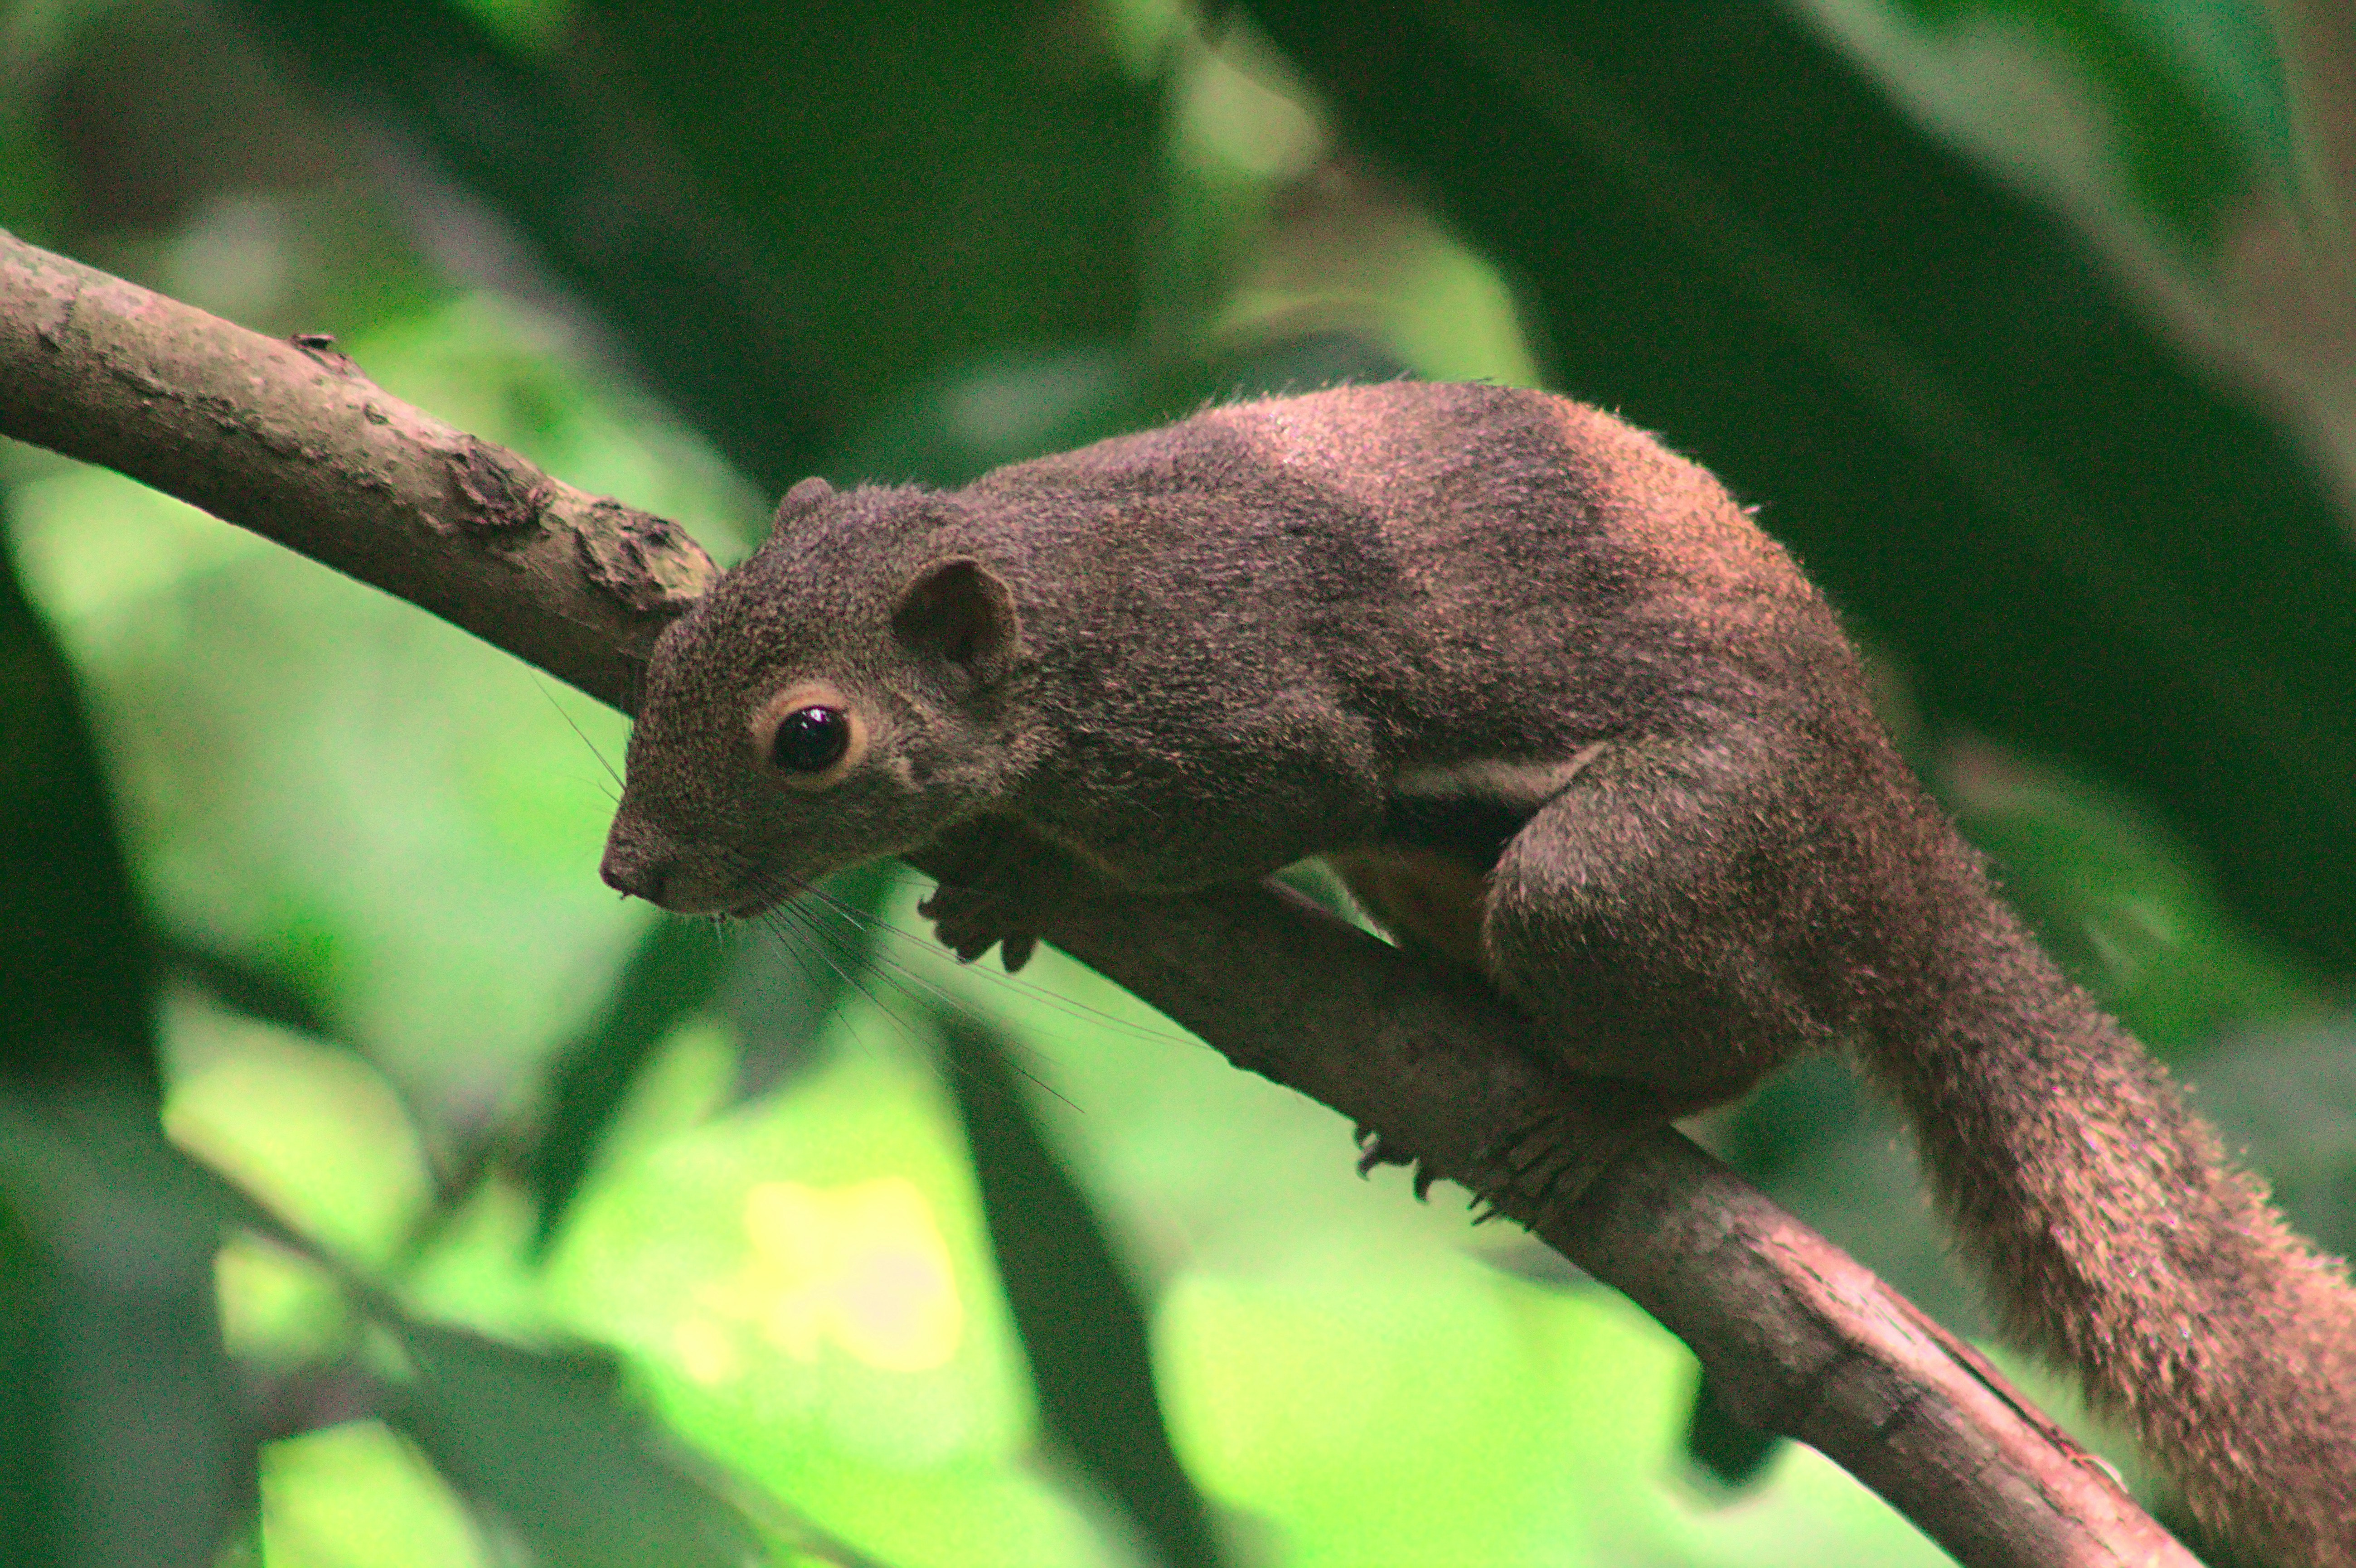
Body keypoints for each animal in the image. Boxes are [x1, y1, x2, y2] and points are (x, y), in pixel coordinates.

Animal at [600, 381, 2356, 1565]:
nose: (632, 868)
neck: (1065, 604)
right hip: (1430, 872)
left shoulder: (1238, 742)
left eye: (810, 739)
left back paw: (1596, 1110)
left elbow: (1229, 823)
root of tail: (1889, 842)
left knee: (1754, 1022)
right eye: (674, 647)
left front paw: (1036, 871)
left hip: (1626, 879)